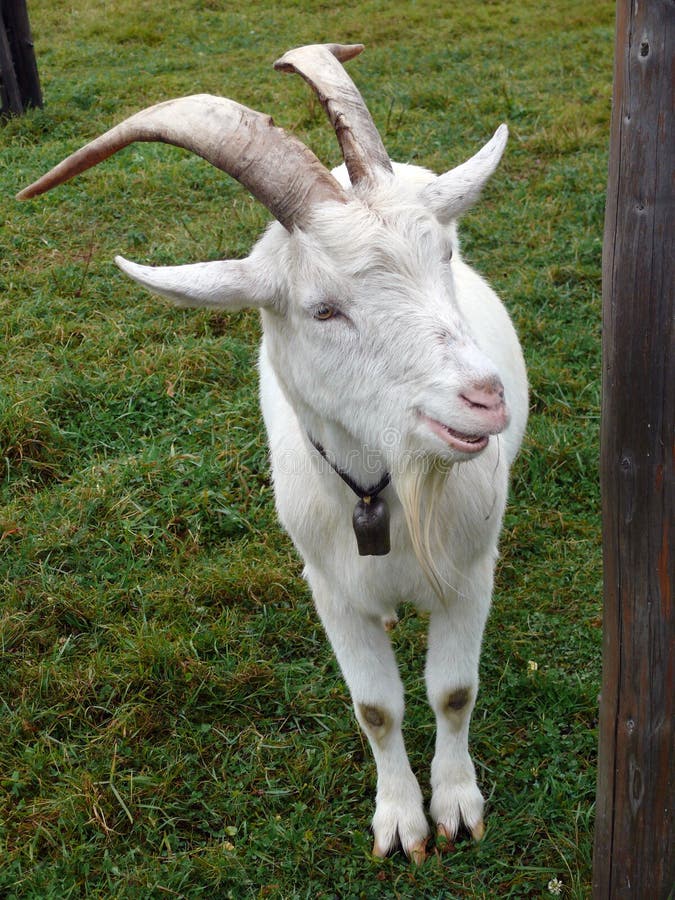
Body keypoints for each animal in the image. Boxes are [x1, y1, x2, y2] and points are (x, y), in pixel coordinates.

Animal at [18, 42, 528, 862]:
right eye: (322, 308)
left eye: (444, 254)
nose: (483, 398)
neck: (380, 492)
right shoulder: (330, 587)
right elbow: (377, 707)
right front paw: (400, 820)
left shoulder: (469, 571)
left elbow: (453, 692)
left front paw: (454, 805)